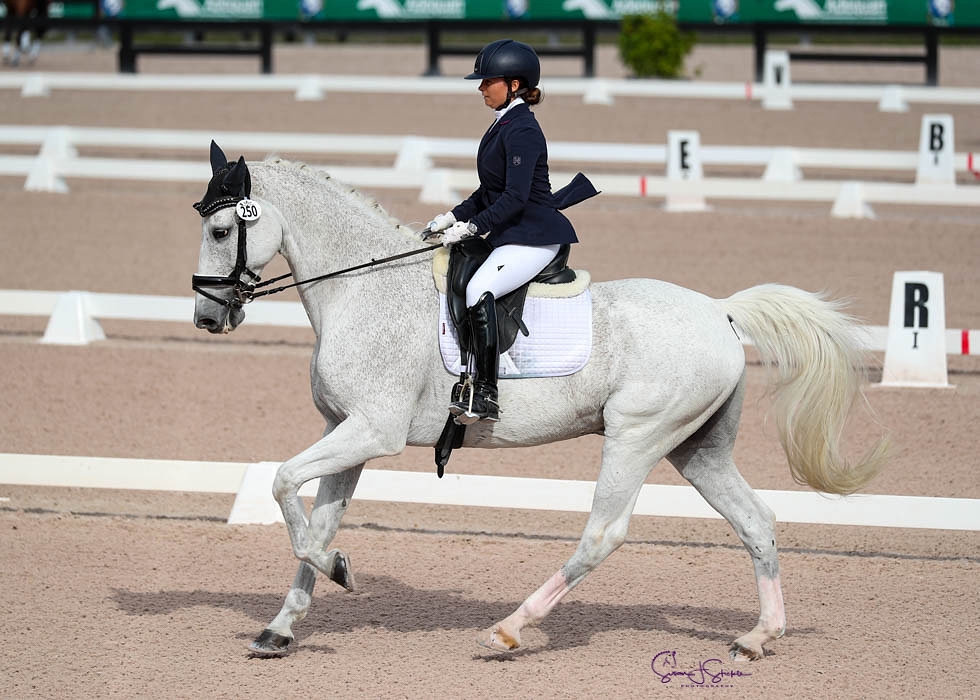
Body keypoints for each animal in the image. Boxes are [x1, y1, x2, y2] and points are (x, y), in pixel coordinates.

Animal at [191, 144, 888, 661]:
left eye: (223, 229)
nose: (207, 317)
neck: (365, 287)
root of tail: (720, 312)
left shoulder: (372, 431)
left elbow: (283, 484)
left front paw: (340, 572)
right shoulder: (345, 431)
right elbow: (317, 521)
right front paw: (283, 627)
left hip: (636, 438)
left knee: (603, 534)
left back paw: (509, 629)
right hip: (697, 448)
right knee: (755, 521)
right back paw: (757, 637)